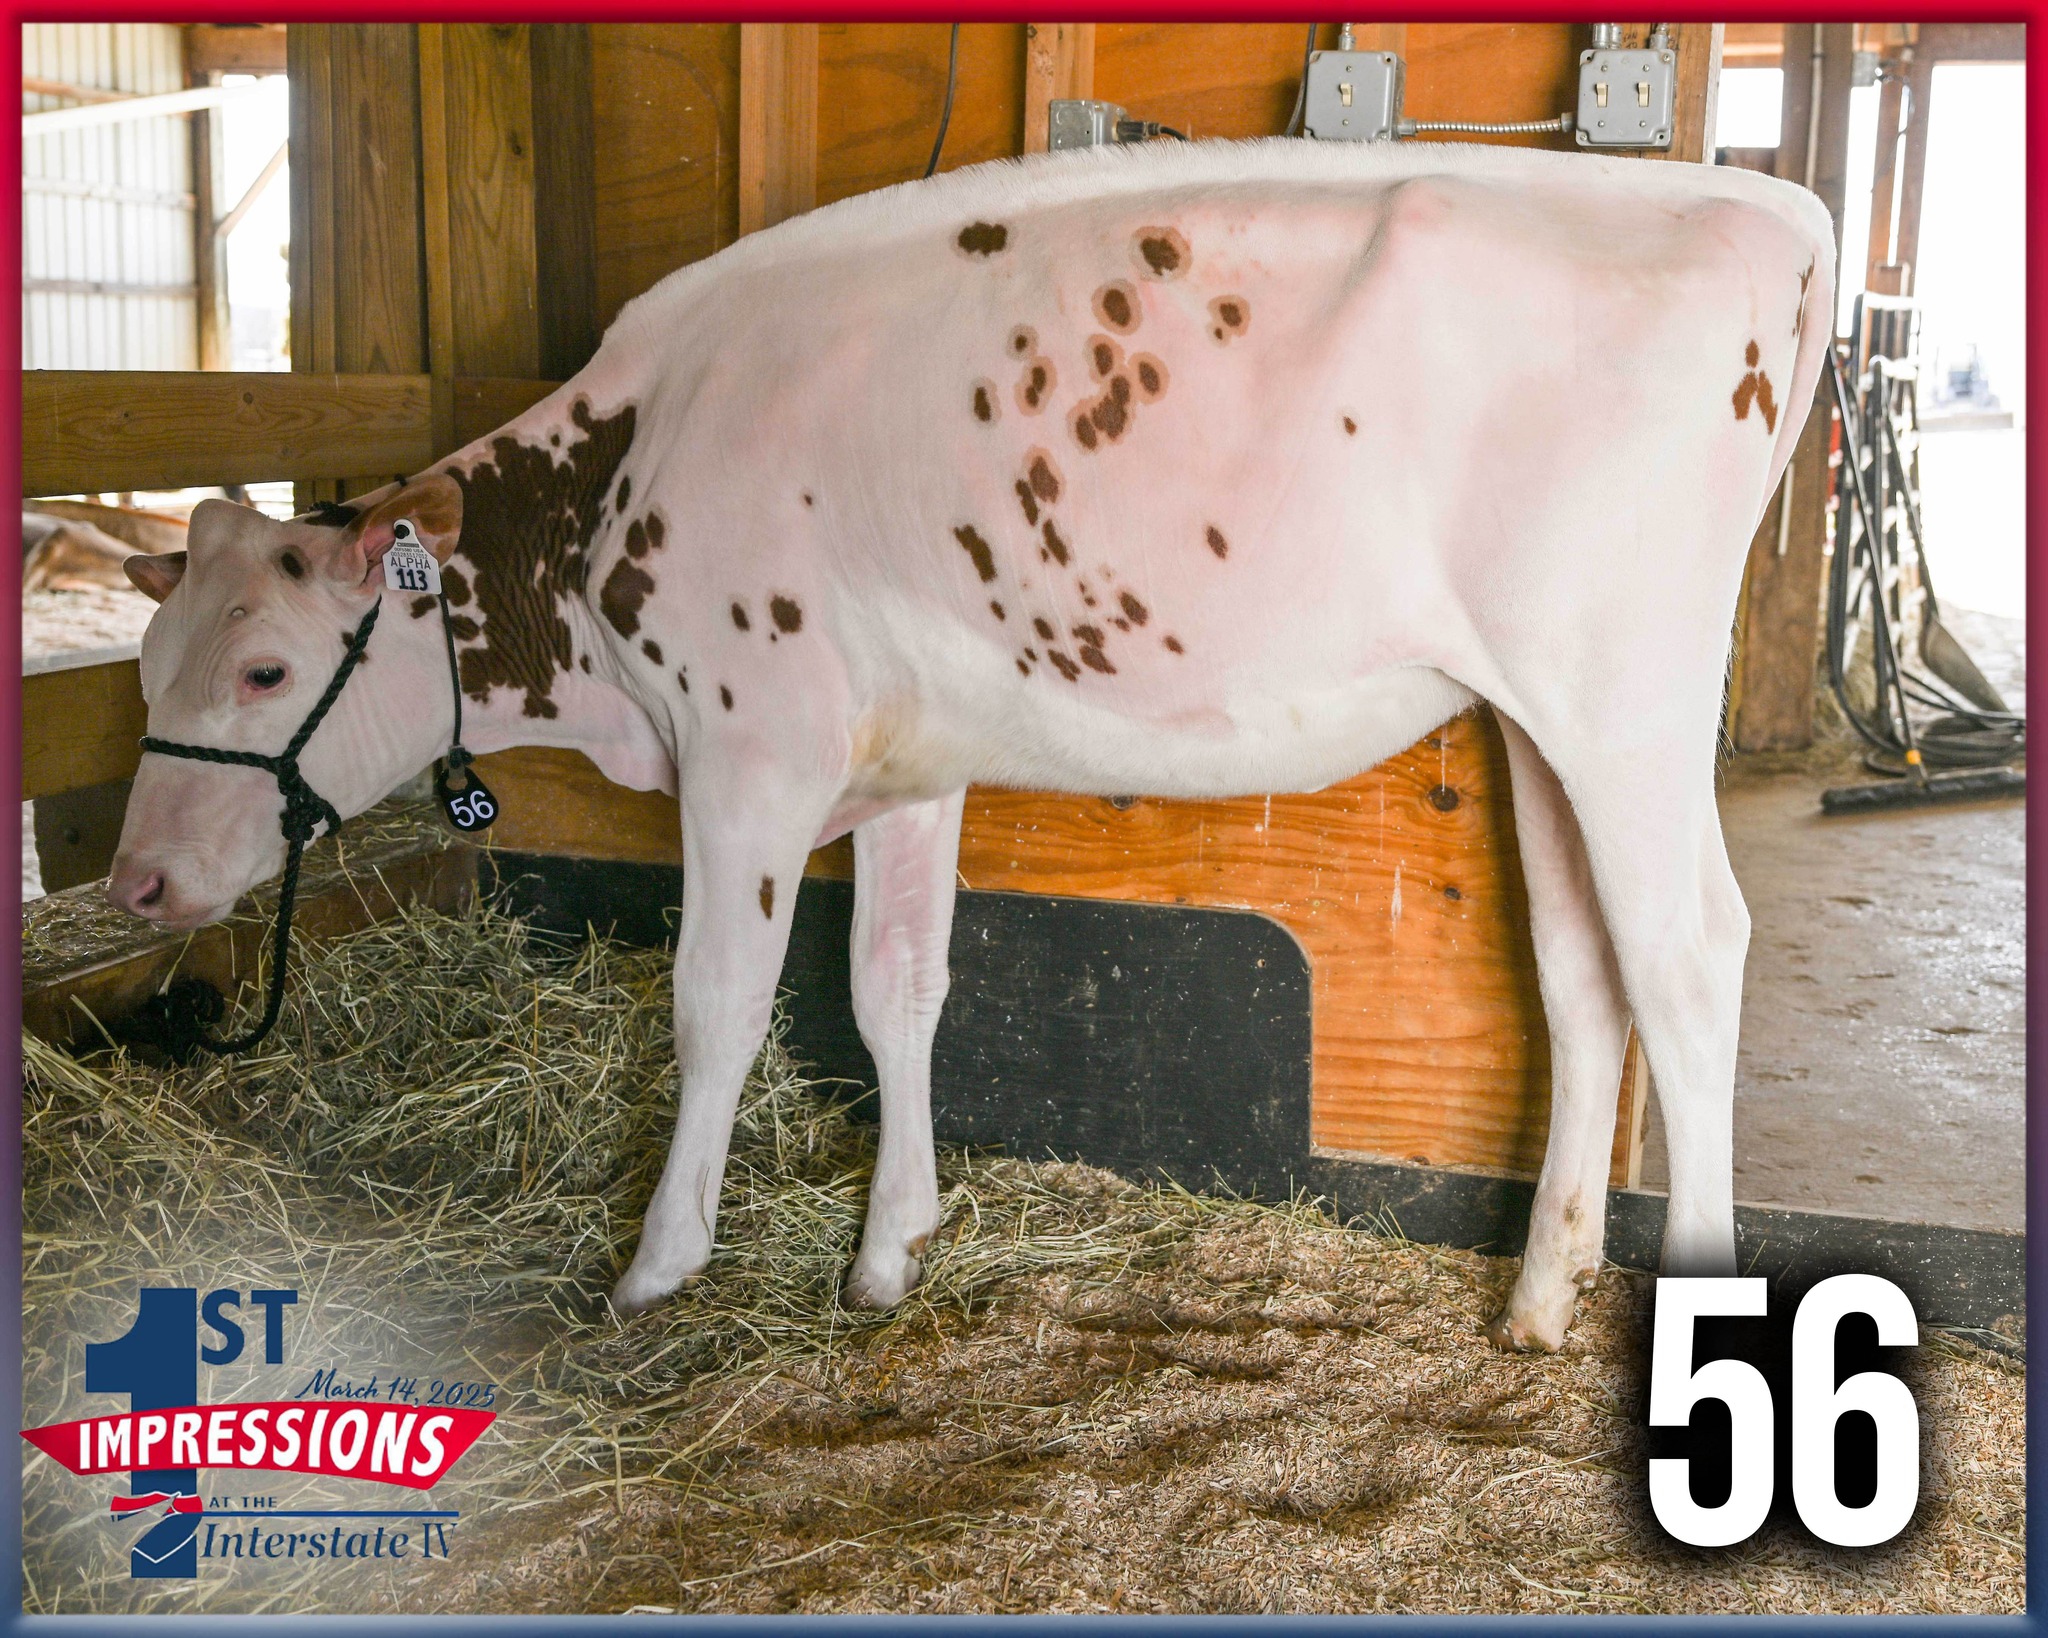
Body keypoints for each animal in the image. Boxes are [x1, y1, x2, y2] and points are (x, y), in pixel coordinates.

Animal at [108, 137, 1834, 1351]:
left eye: (265, 666)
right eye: (143, 667)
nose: (130, 883)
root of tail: (1752, 209)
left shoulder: (752, 749)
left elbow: (717, 1005)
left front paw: (660, 1263)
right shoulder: (910, 760)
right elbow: (899, 990)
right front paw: (893, 1245)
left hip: (1626, 691)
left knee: (1695, 957)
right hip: (1546, 719)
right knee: (1585, 965)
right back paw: (1540, 1294)